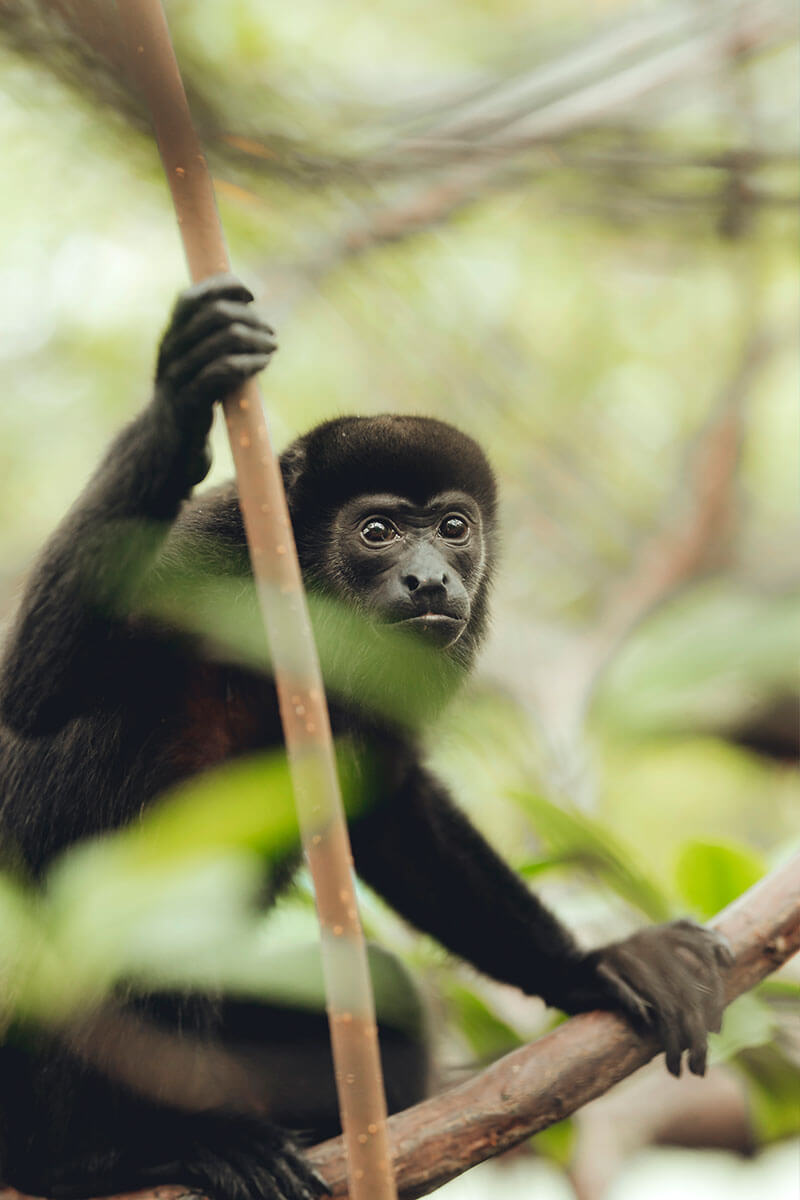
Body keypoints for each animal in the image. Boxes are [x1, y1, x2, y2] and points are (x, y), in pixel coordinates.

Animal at [0, 275, 731, 1200]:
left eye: (453, 527)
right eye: (377, 532)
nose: (431, 580)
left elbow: (395, 805)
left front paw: (595, 964)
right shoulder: (203, 558)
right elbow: (32, 692)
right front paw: (180, 396)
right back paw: (125, 1151)